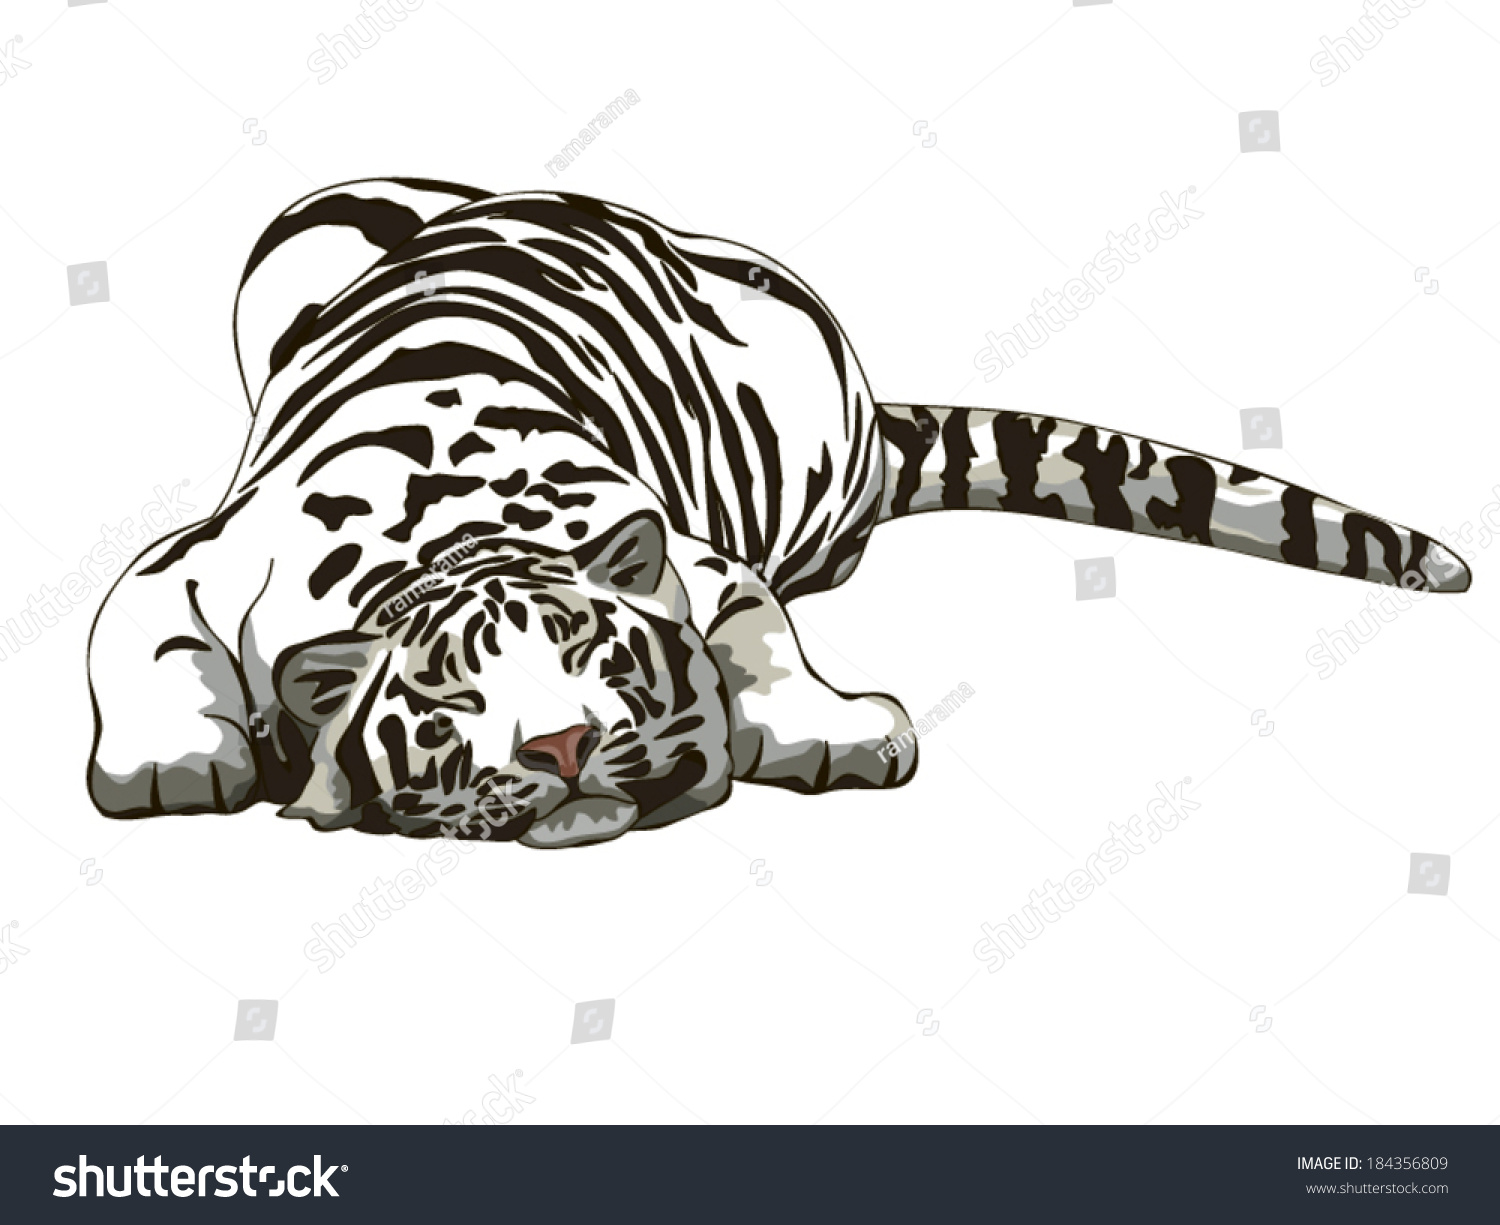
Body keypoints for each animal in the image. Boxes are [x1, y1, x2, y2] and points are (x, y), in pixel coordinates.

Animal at [85, 178, 1472, 849]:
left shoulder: (686, 552)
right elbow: (134, 644)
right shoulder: (189, 566)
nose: (563, 748)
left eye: (593, 660)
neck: (457, 532)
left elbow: (757, 629)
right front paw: (167, 761)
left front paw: (833, 730)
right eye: (452, 701)